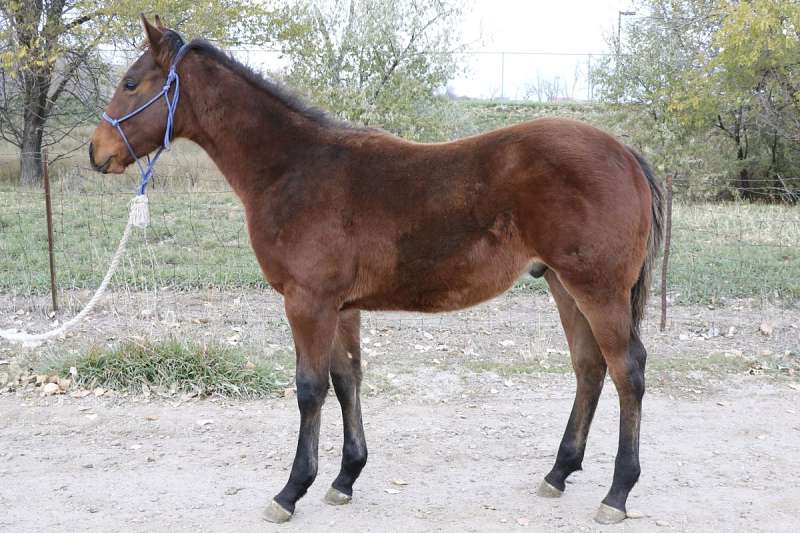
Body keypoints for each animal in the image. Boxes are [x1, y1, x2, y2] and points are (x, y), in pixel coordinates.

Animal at [89, 16, 663, 525]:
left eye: (130, 82)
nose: (98, 151)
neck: (293, 168)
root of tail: (625, 153)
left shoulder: (307, 302)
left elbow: (309, 388)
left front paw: (291, 491)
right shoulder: (341, 307)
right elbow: (347, 381)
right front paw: (345, 479)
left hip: (598, 289)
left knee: (627, 370)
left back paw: (617, 494)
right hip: (566, 287)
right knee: (589, 368)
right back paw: (558, 473)